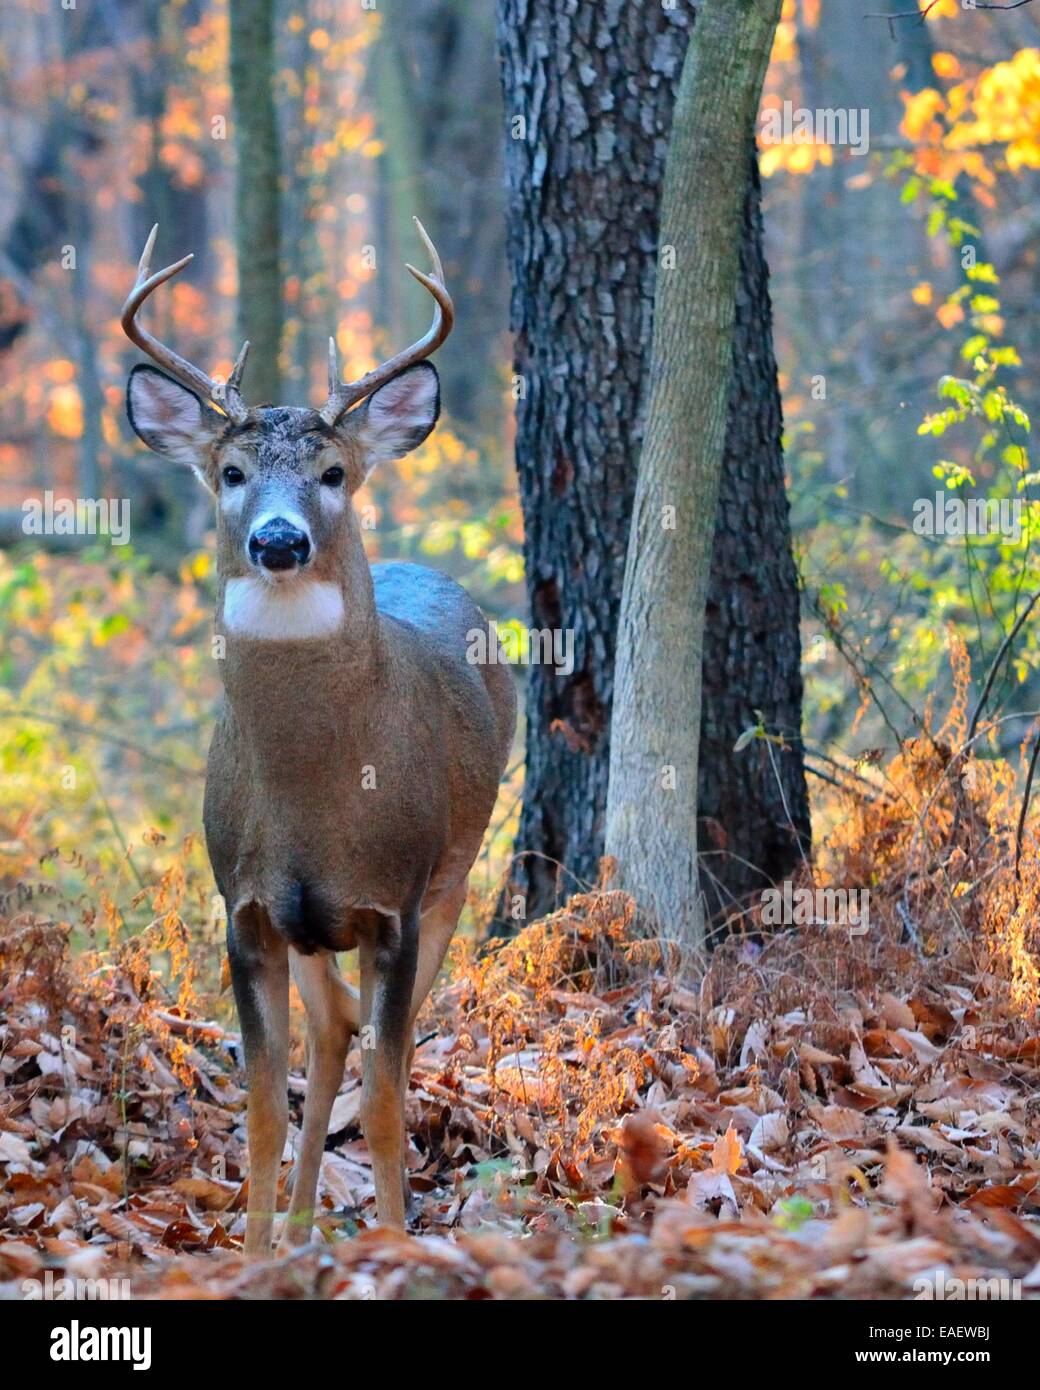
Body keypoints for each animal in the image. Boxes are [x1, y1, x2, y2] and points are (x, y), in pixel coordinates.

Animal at [121, 221, 516, 1253]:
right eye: (230, 473)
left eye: (334, 474)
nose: (279, 541)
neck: (317, 793)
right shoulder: (250, 906)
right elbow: (262, 1103)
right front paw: (257, 1250)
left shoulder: (395, 905)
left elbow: (382, 1093)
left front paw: (395, 1241)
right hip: (310, 925)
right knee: (331, 1031)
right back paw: (300, 1226)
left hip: (455, 873)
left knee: (386, 1045)